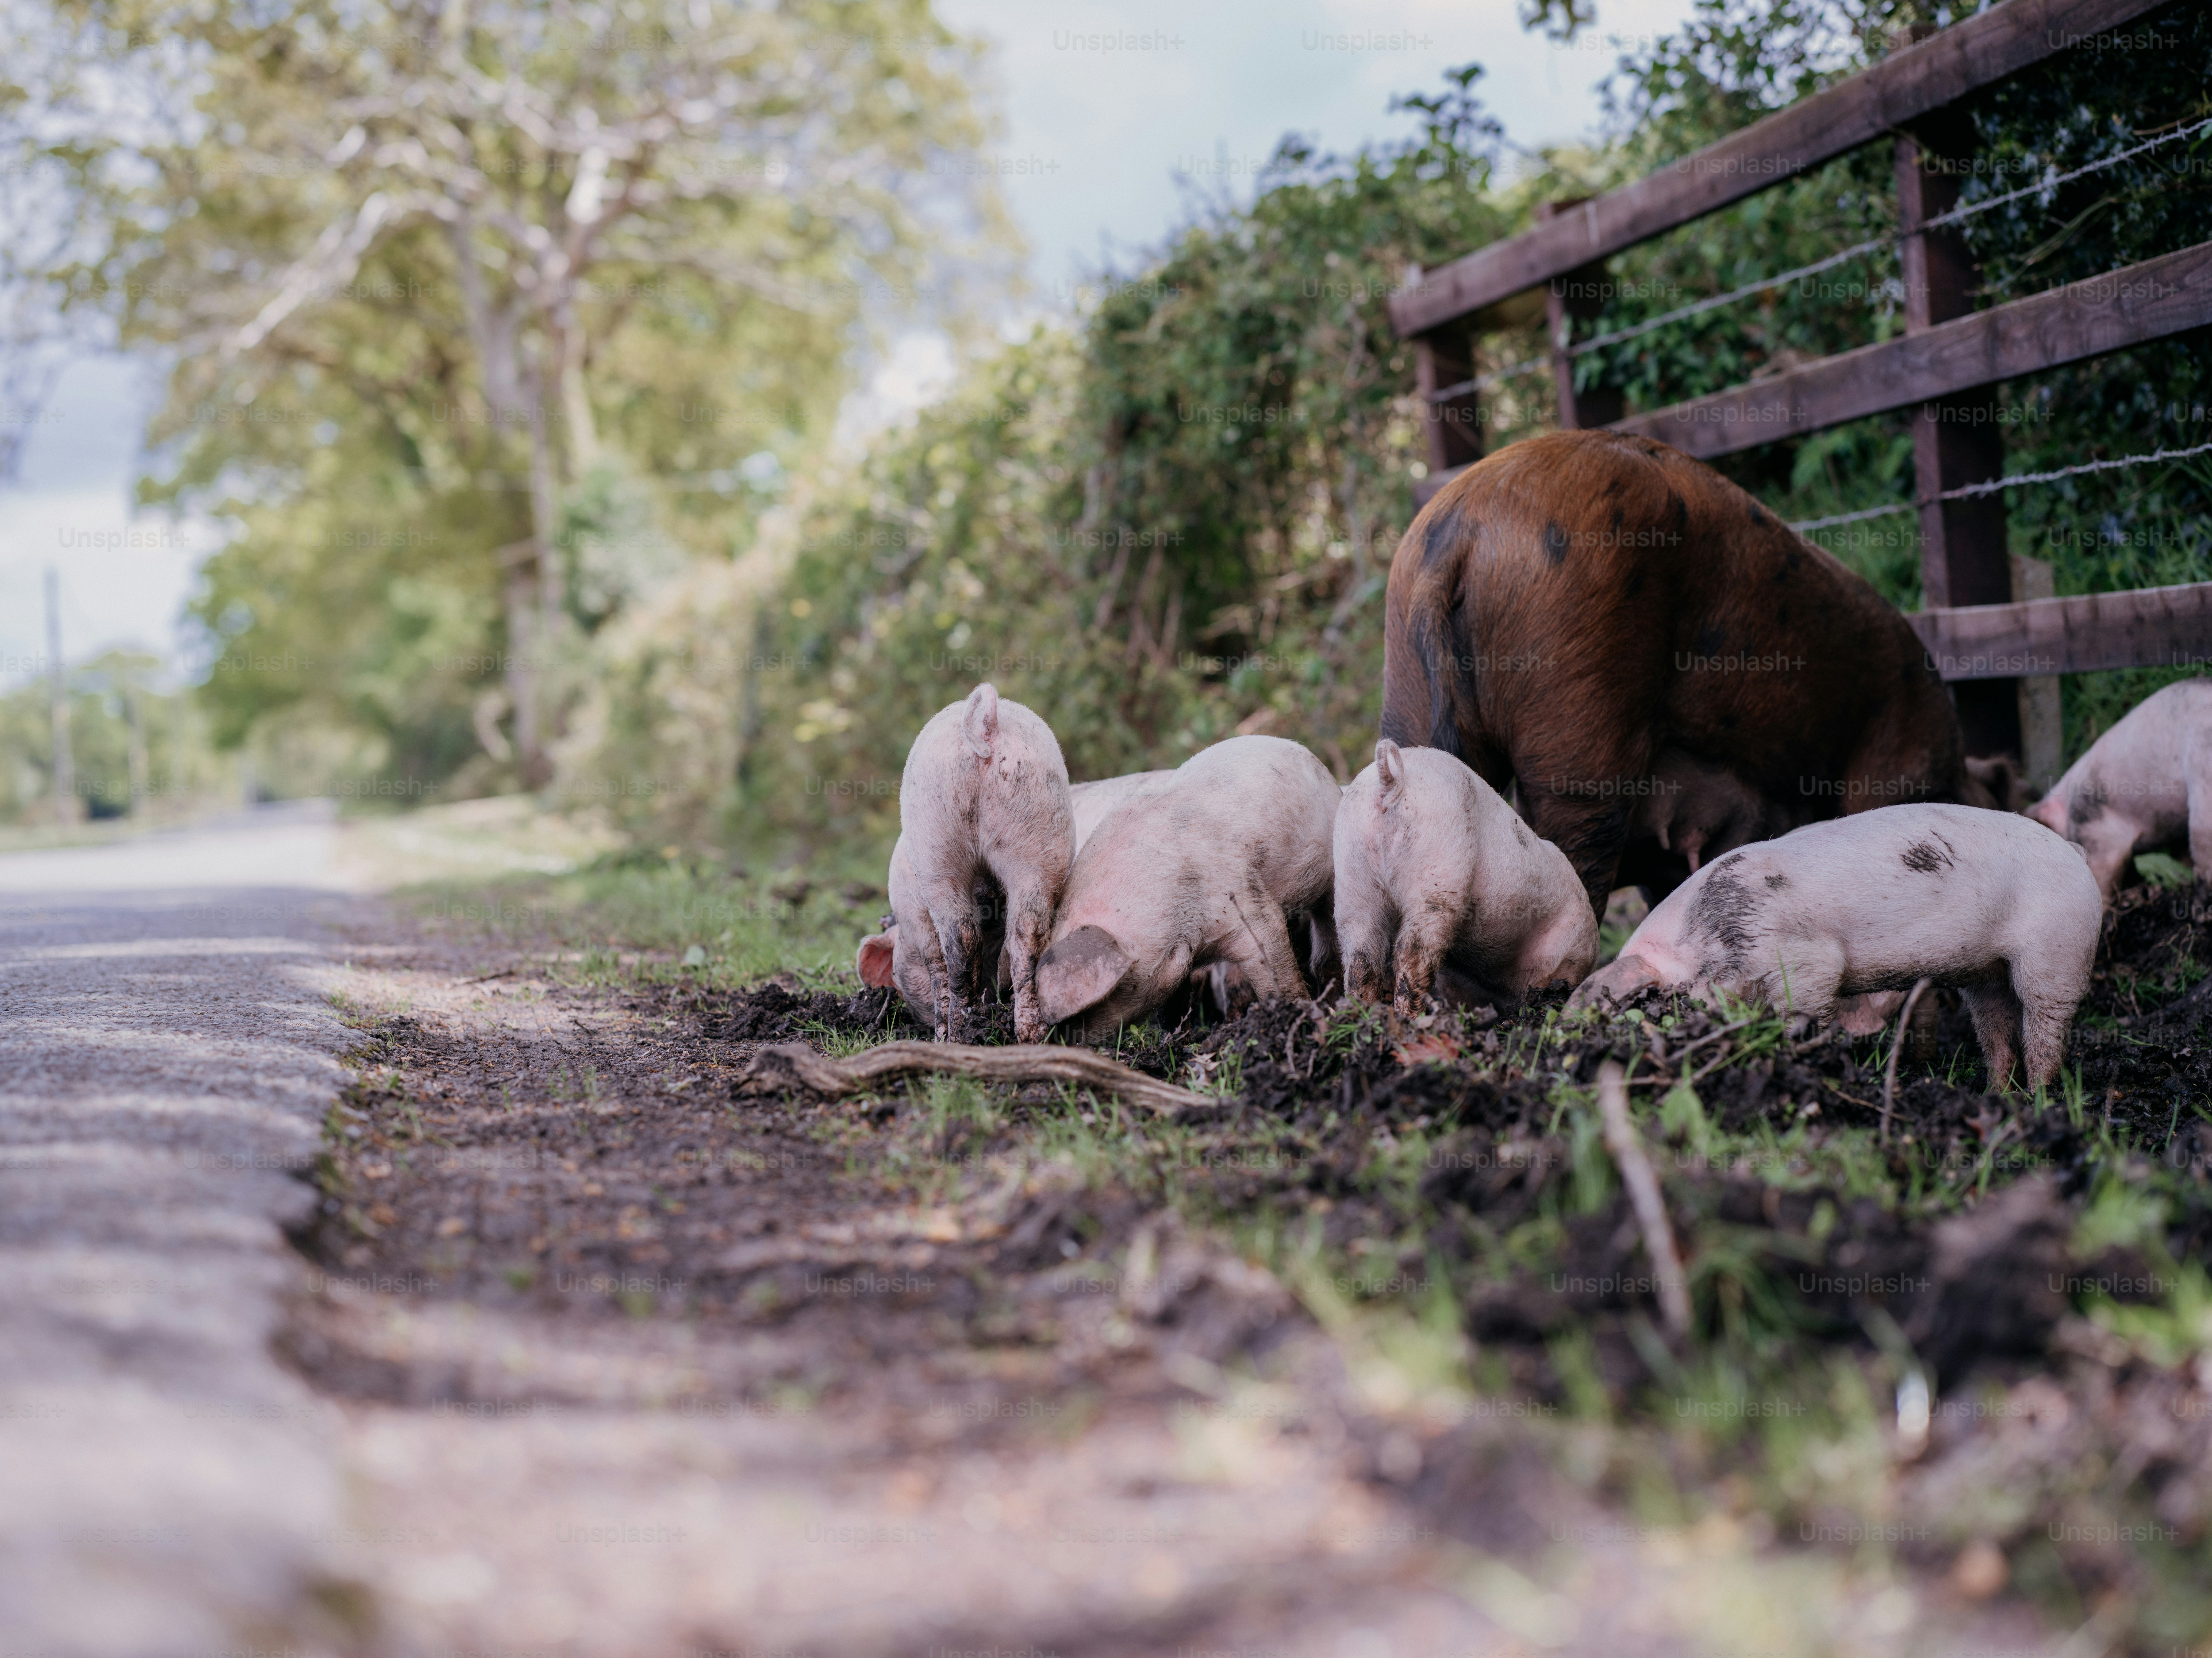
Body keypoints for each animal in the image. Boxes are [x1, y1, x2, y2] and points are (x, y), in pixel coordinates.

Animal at [890, 683, 1072, 1043]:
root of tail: (986, 726)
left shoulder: (912, 911)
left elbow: (936, 965)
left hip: (936, 851)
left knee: (957, 942)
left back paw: (955, 1035)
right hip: (1032, 837)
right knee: (1023, 933)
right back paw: (1028, 1035)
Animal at [1034, 735, 1339, 1039]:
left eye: (1088, 1010)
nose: (1062, 1039)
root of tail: (1302, 750)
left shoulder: (1247, 905)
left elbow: (1273, 964)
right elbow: (1174, 1001)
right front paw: (1175, 1037)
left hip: (1331, 880)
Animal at [1335, 739, 1597, 1016]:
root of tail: (1392, 782)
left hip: (1352, 877)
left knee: (1360, 958)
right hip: (1439, 871)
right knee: (1412, 951)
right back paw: (1413, 1018)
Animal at [1569, 803, 2101, 1092]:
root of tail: (2075, 855)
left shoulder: (1807, 964)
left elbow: (1810, 1010)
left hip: (2058, 951)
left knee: (2045, 1026)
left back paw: (2037, 1100)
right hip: (1986, 972)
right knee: (1996, 1028)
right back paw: (1994, 1096)